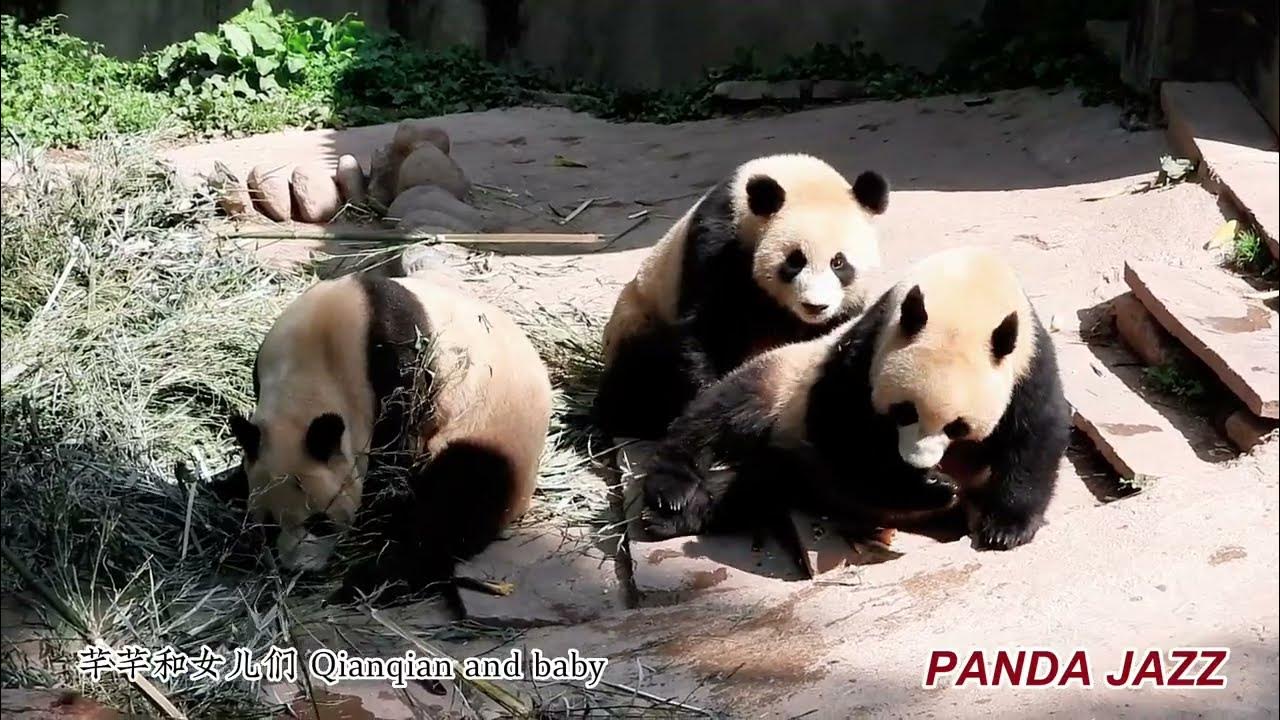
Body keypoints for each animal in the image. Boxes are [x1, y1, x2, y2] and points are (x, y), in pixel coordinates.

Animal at [225, 272, 553, 596]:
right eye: (269, 526)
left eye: (319, 522)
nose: (298, 569)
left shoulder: (396, 364)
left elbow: (396, 450)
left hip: (494, 426)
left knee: (458, 499)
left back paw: (379, 575)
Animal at [594, 153, 890, 440]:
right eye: (795, 261)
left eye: (838, 263)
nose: (814, 306)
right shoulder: (718, 242)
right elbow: (708, 325)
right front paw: (707, 394)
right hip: (639, 317)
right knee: (642, 370)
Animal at [637, 246, 1071, 551]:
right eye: (904, 412)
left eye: (957, 427)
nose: (918, 463)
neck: (968, 294)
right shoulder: (867, 344)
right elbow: (843, 431)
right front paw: (931, 484)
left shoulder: (1027, 362)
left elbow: (1037, 436)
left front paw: (1004, 528)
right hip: (783, 382)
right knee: (717, 416)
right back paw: (670, 499)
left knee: (755, 486)